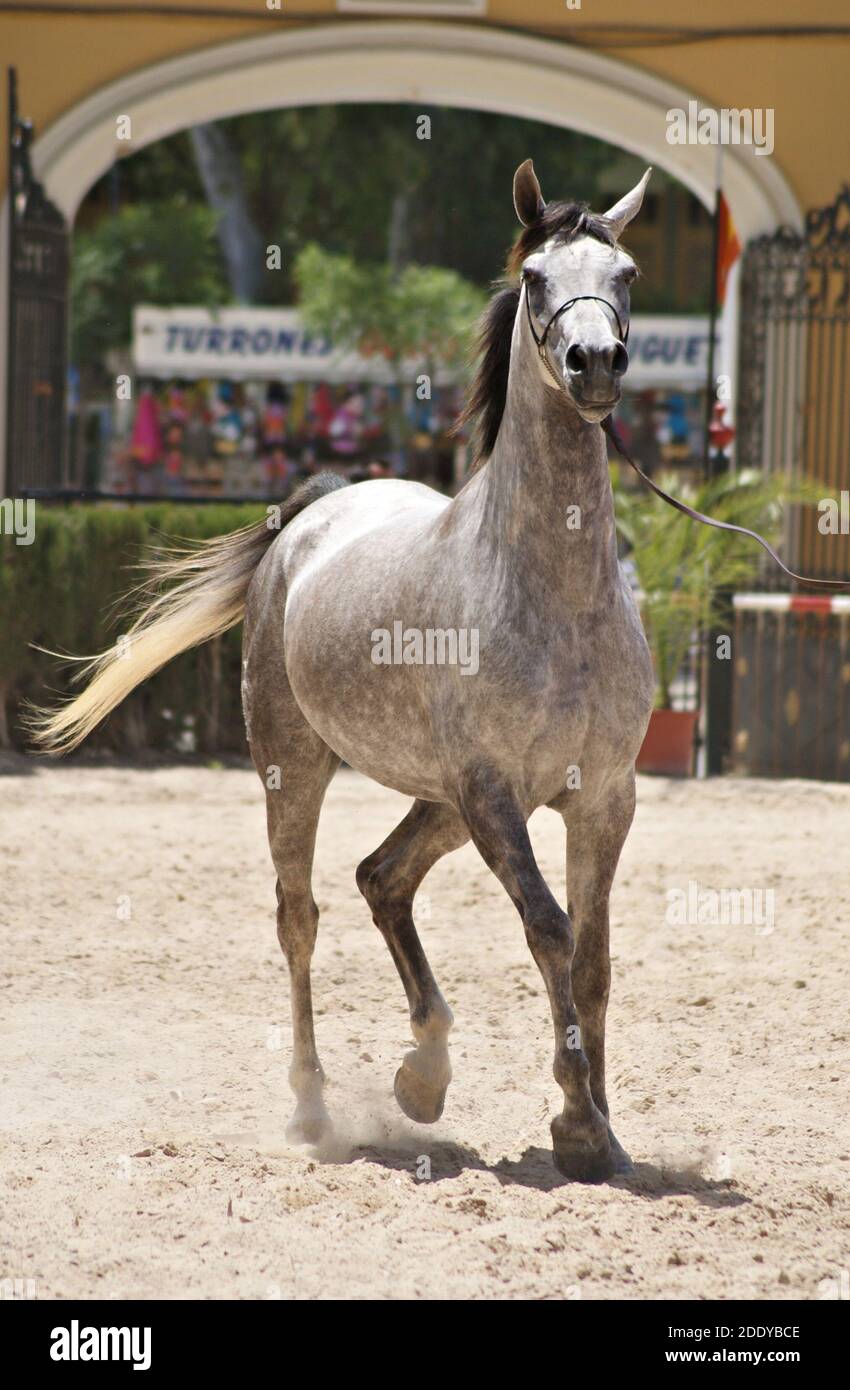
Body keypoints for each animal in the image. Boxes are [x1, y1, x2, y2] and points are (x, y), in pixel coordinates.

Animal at [34, 161, 655, 1182]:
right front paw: (575, 1124)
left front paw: (607, 1131)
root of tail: (314, 514)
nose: (594, 363)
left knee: (381, 879)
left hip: (443, 802)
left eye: (627, 273)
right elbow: (550, 930)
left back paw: (423, 1076)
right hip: (303, 772)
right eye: (536, 280)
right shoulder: (496, 795)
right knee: (302, 915)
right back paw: (314, 1109)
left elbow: (595, 958)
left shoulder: (602, 799)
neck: (553, 595)